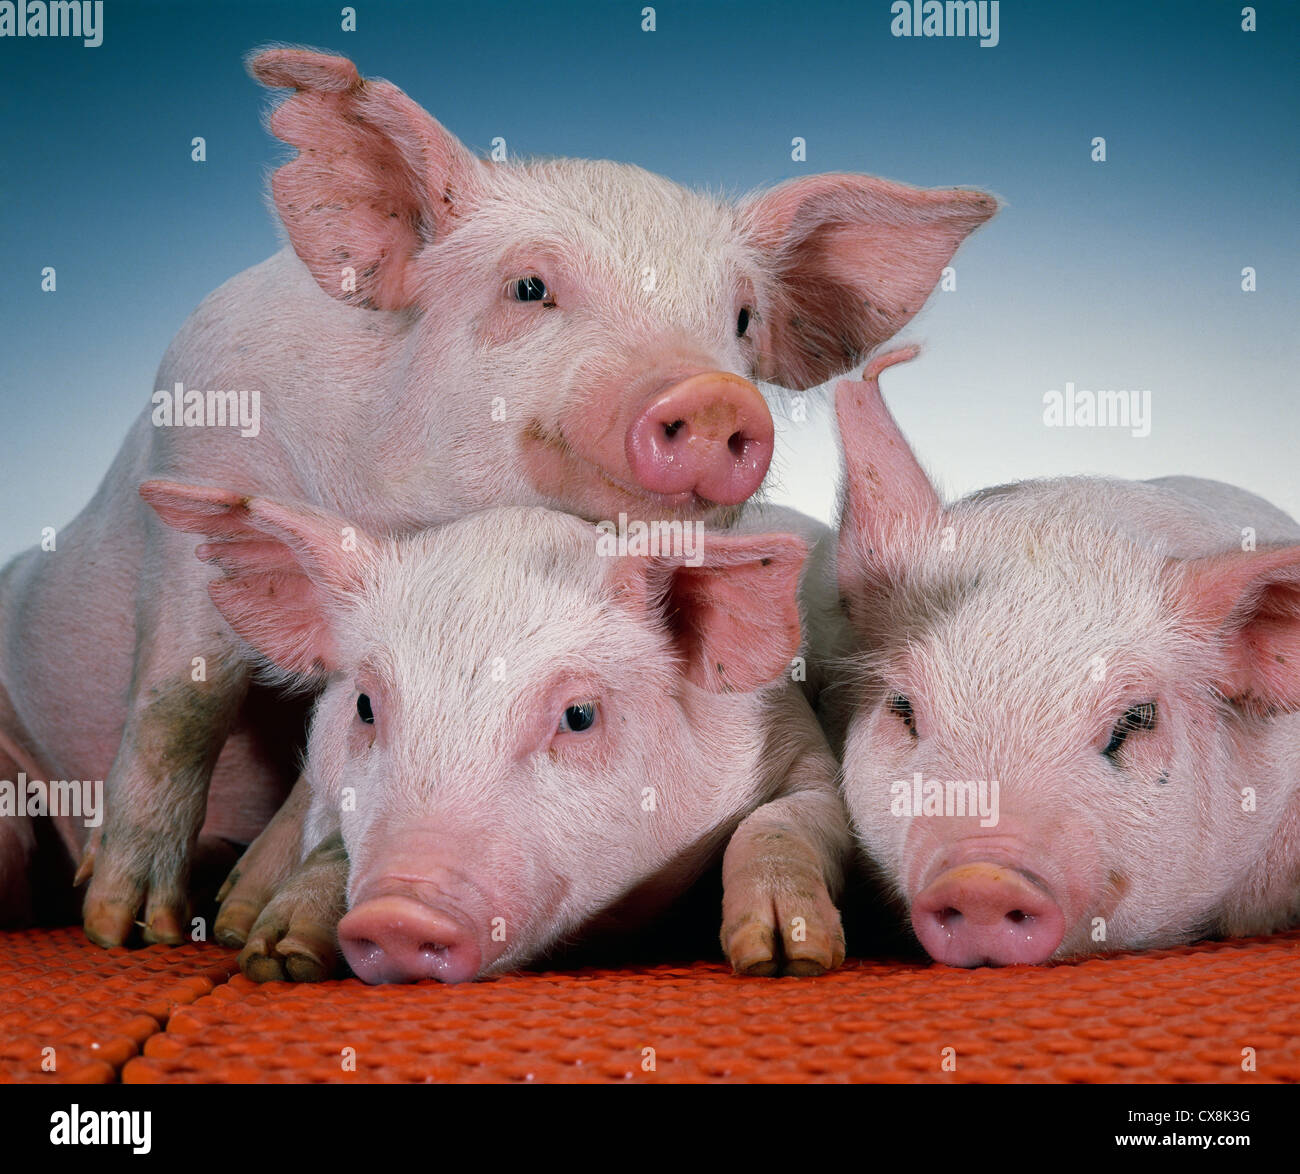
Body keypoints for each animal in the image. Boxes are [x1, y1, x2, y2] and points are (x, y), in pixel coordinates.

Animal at [139, 480, 852, 983]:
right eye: (366, 705)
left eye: (579, 715)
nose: (398, 914)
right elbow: (333, 847)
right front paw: (276, 956)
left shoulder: (797, 744)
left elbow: (784, 816)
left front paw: (782, 957)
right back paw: (238, 921)